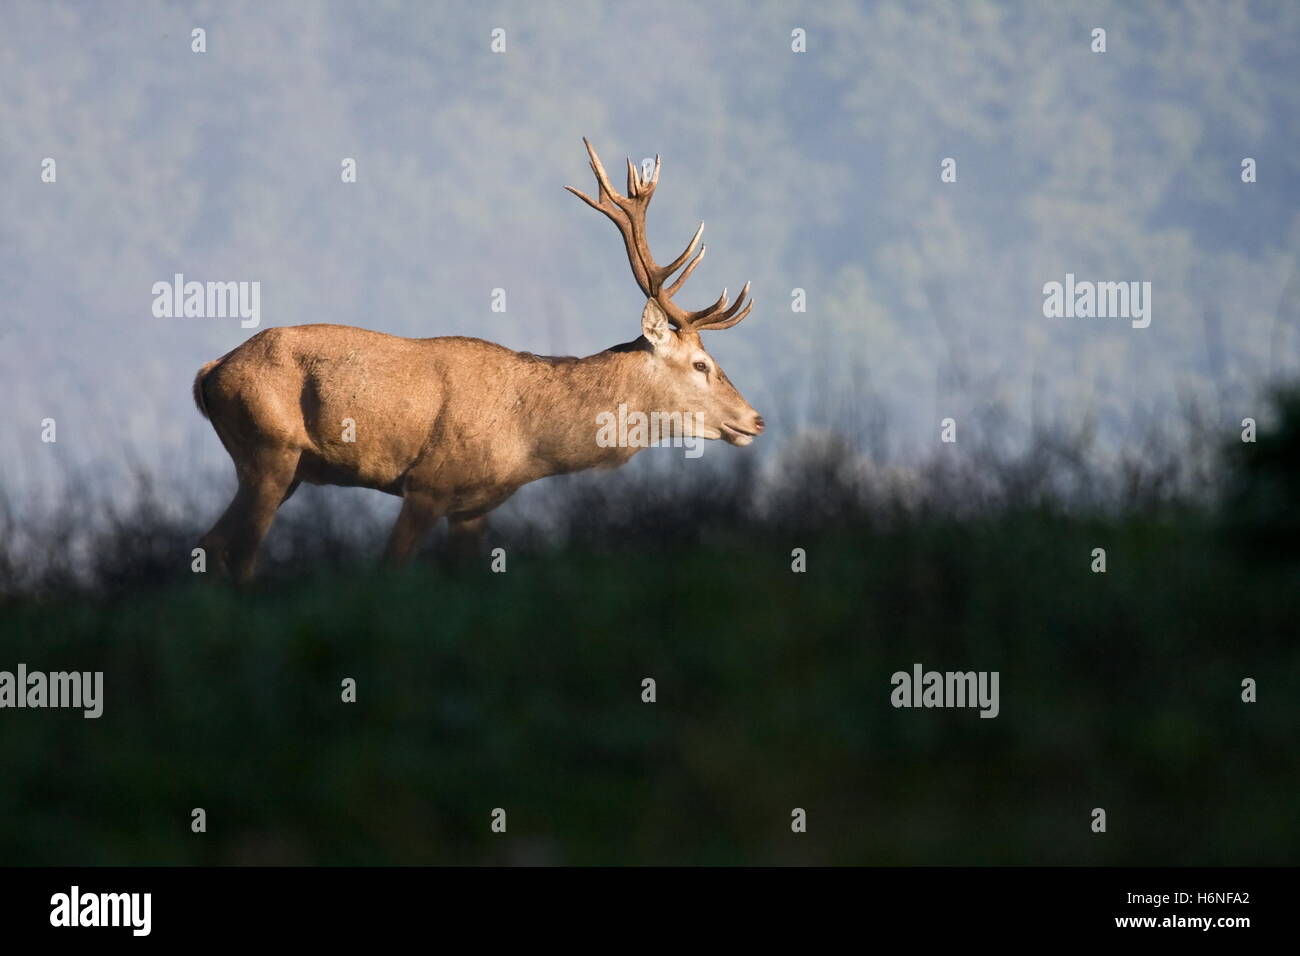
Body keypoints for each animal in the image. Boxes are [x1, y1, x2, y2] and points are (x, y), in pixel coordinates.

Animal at [192, 139, 765, 581]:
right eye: (701, 364)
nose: (756, 419)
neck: (529, 439)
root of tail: (208, 375)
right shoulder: (428, 483)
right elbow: (390, 567)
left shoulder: (477, 505)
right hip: (271, 446)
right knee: (239, 553)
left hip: (277, 465)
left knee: (210, 545)